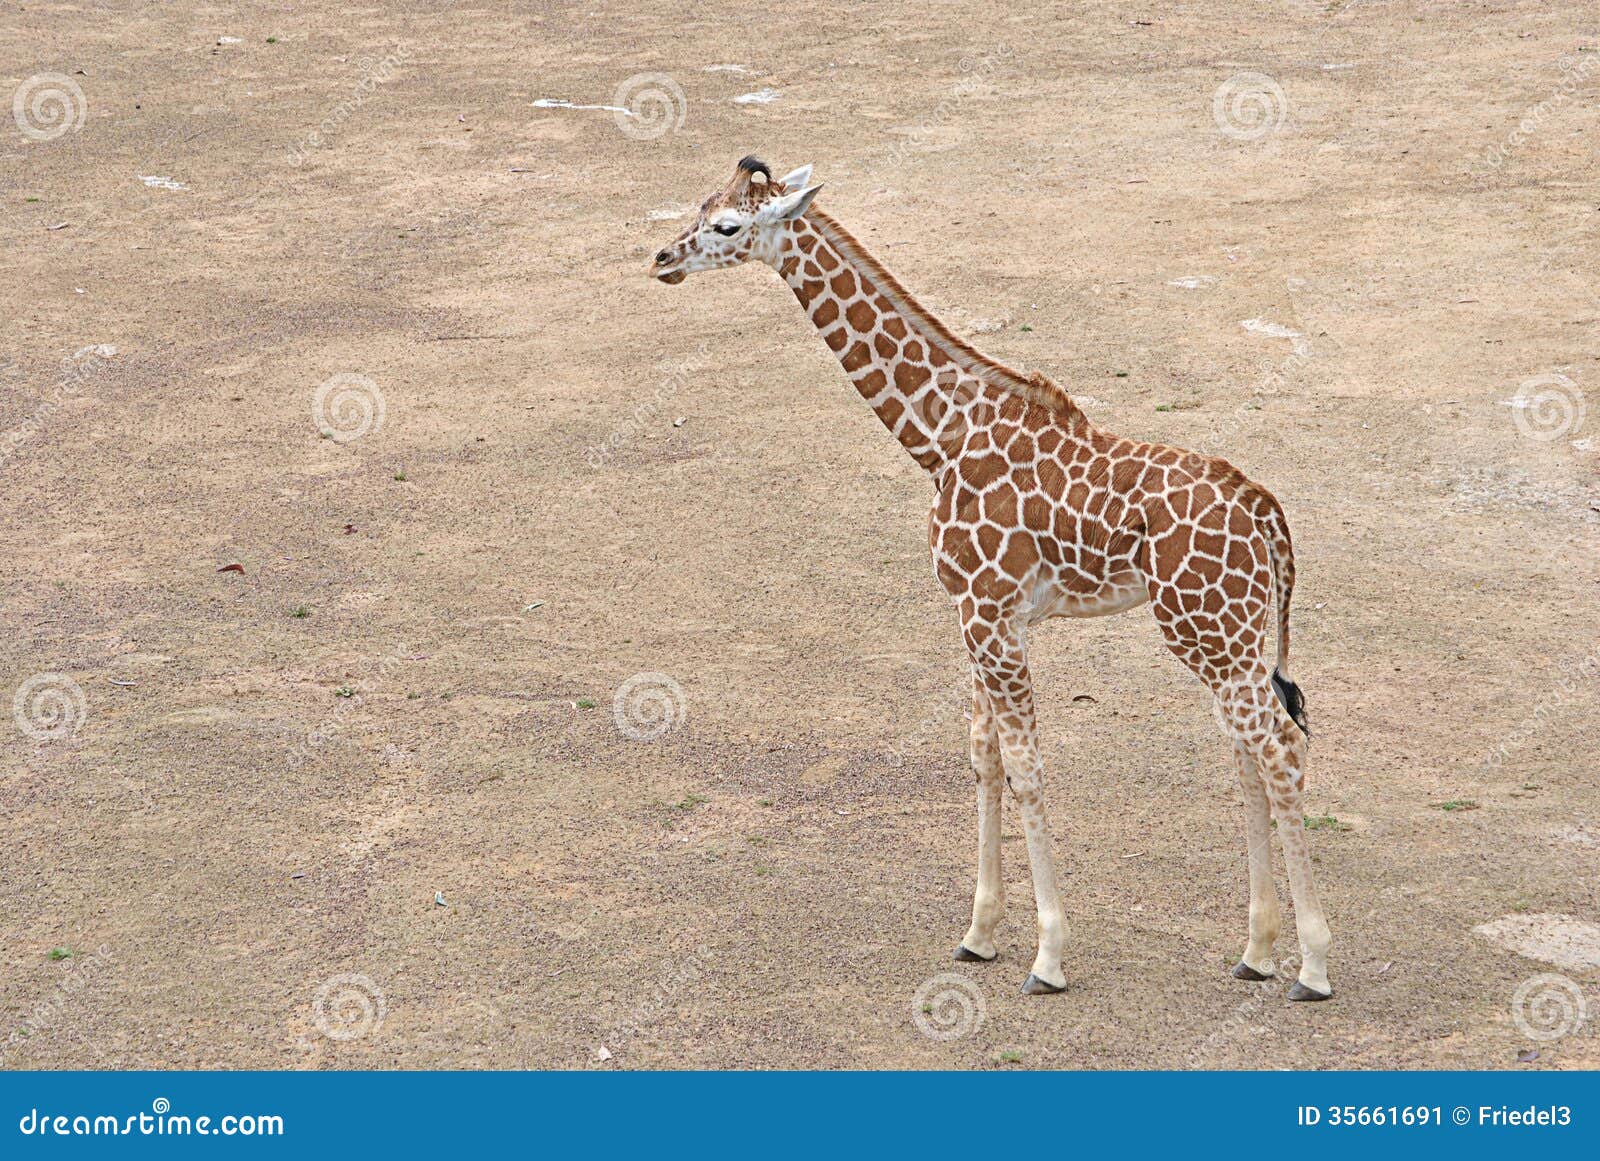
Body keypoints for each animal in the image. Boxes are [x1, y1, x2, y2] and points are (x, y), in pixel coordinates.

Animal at [649, 157, 1332, 1001]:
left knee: (1280, 750)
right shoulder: (981, 616)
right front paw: (979, 933)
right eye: (701, 204)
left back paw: (1312, 965)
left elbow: (1029, 769)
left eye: (727, 226)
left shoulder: (989, 616)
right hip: (1228, 636)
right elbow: (985, 757)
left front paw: (1048, 955)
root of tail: (1264, 508)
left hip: (1209, 629)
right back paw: (1257, 950)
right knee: (1248, 752)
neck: (940, 436)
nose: (662, 259)